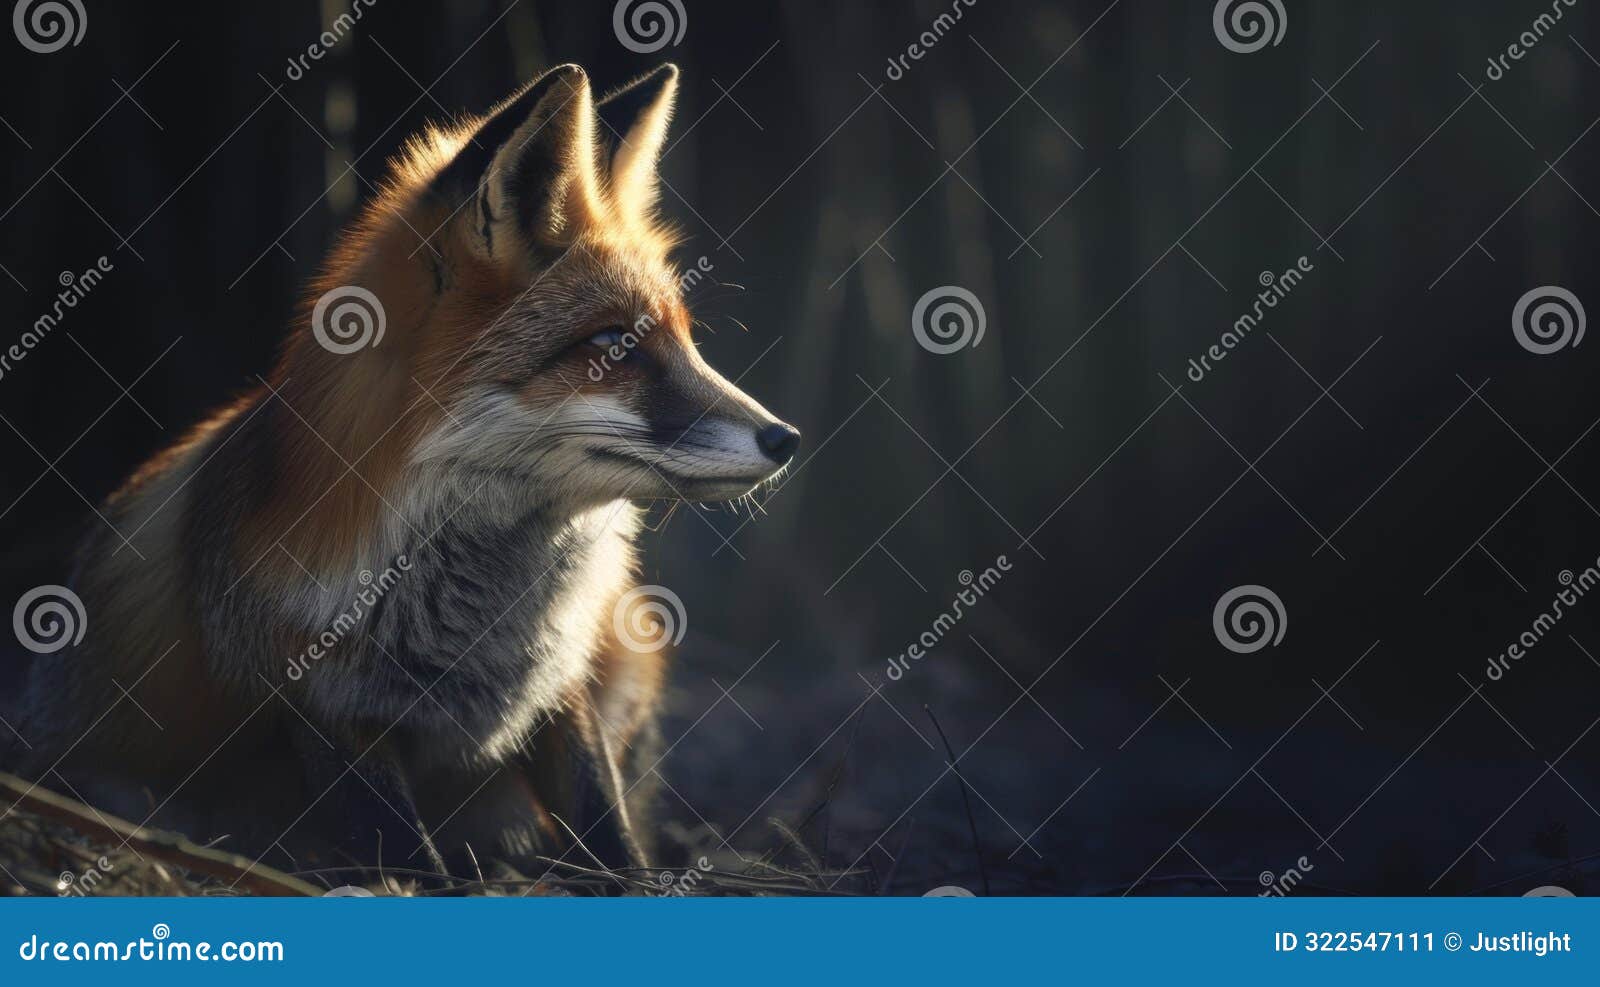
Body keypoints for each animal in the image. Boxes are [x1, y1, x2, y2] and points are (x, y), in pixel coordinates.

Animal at [2, 63, 798, 879]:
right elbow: (413, 862)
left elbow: (608, 828)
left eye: (686, 340)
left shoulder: (561, 691)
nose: (787, 438)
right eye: (615, 344)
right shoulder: (319, 708)